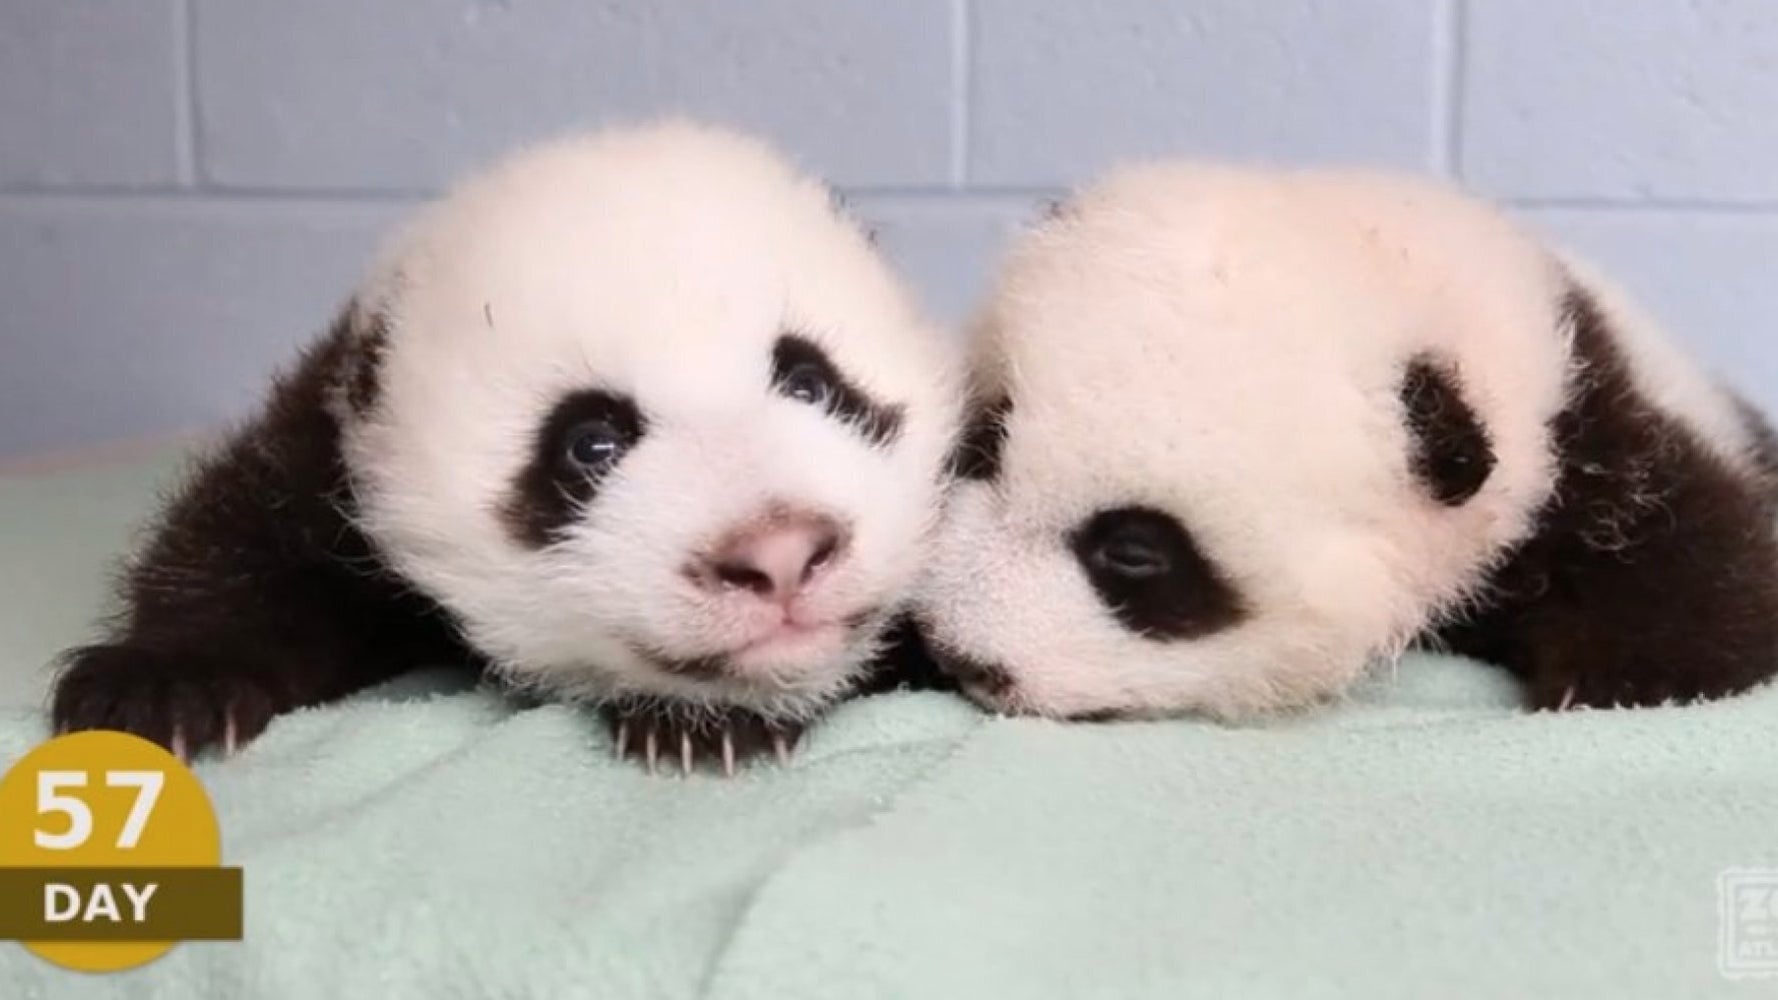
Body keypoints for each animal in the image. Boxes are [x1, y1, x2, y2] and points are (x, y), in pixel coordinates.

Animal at [48, 120, 965, 773]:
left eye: (810, 383)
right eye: (589, 445)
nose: (780, 554)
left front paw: (705, 722)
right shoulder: (337, 452)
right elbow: (247, 540)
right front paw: (154, 690)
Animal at [917, 161, 1778, 722]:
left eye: (1134, 553)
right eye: (987, 446)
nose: (964, 657)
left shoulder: (1600, 443)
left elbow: (1699, 582)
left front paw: (1607, 689)